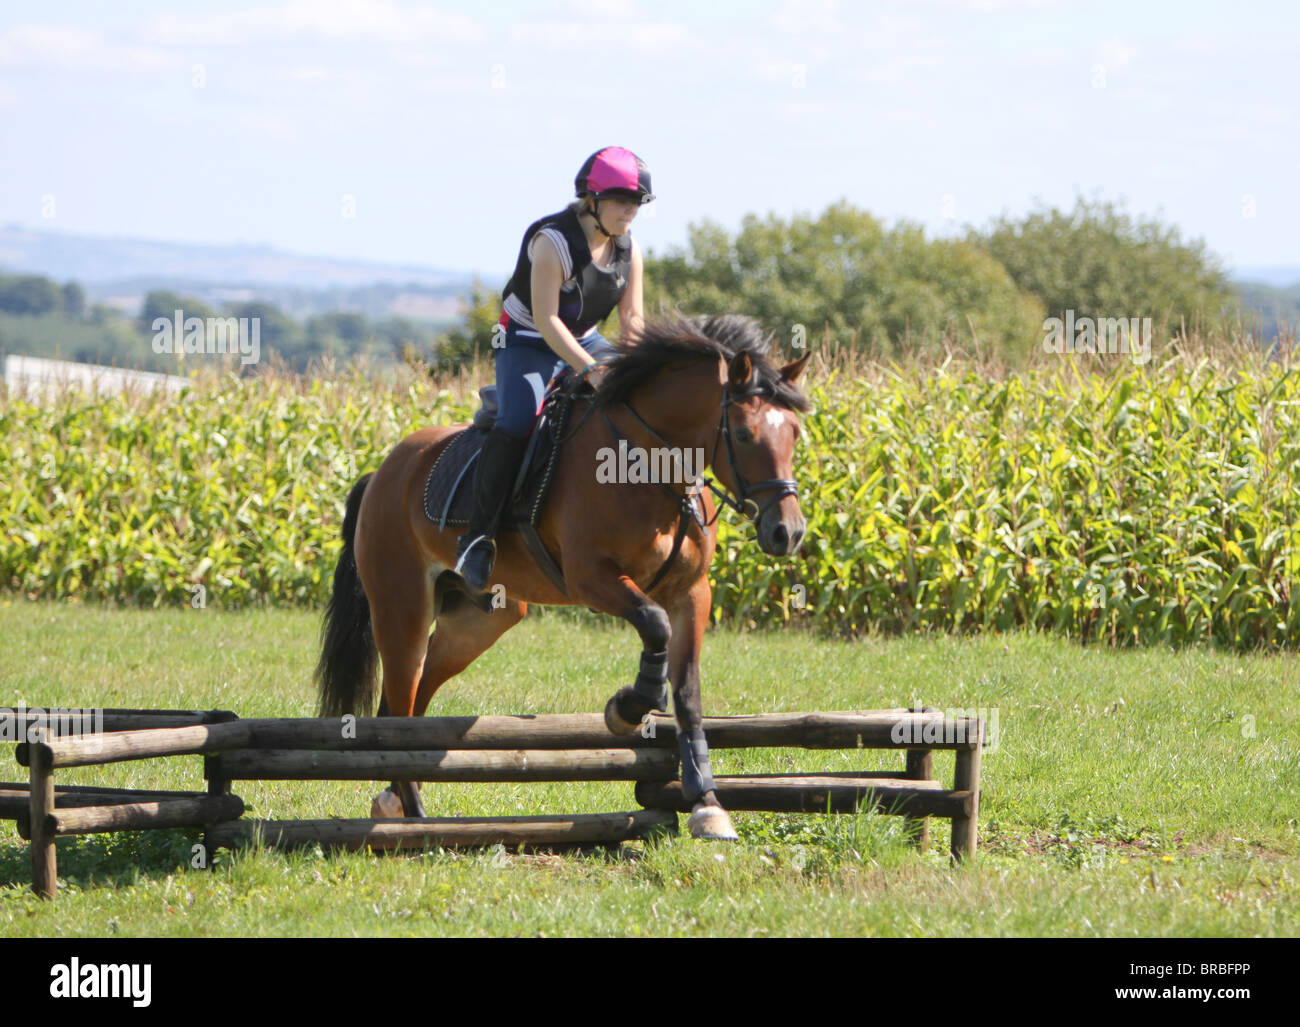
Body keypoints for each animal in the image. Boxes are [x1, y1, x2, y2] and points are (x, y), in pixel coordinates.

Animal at [314, 313, 811, 840]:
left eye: (796, 434)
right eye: (743, 434)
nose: (788, 532)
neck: (651, 467)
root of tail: (383, 471)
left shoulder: (692, 592)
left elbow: (689, 692)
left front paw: (707, 804)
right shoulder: (591, 577)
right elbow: (654, 624)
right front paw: (627, 707)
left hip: (479, 621)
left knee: (414, 698)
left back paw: (397, 800)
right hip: (401, 607)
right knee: (403, 700)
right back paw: (415, 815)